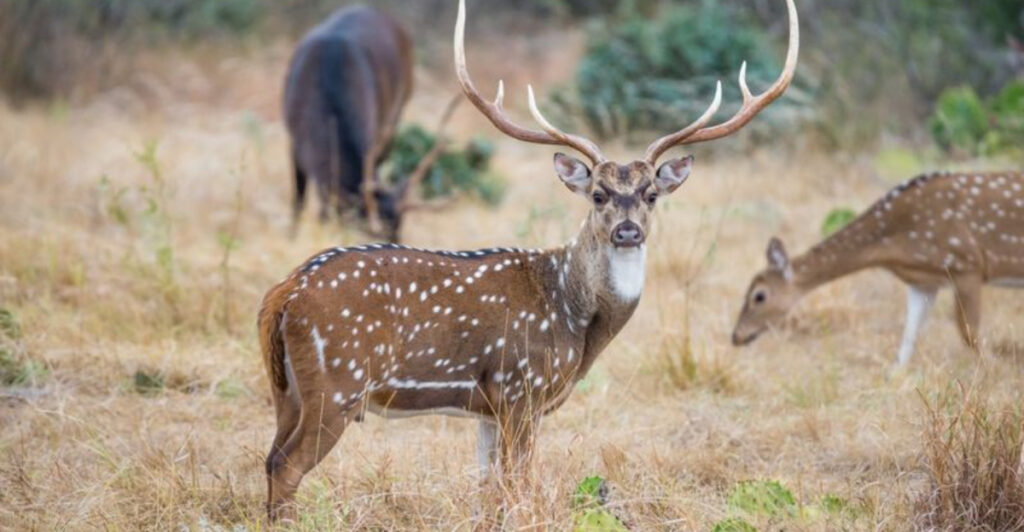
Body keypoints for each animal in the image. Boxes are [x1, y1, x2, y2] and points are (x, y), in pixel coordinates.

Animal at [285, 5, 453, 243]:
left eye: (399, 226)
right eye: (371, 233)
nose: (397, 244)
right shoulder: (294, 140)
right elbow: (299, 199)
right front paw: (292, 236)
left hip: (398, 109)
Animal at [732, 171, 1024, 368]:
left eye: (759, 295)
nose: (736, 336)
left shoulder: (967, 263)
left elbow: (969, 334)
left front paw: (995, 372)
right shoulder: (924, 282)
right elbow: (907, 343)